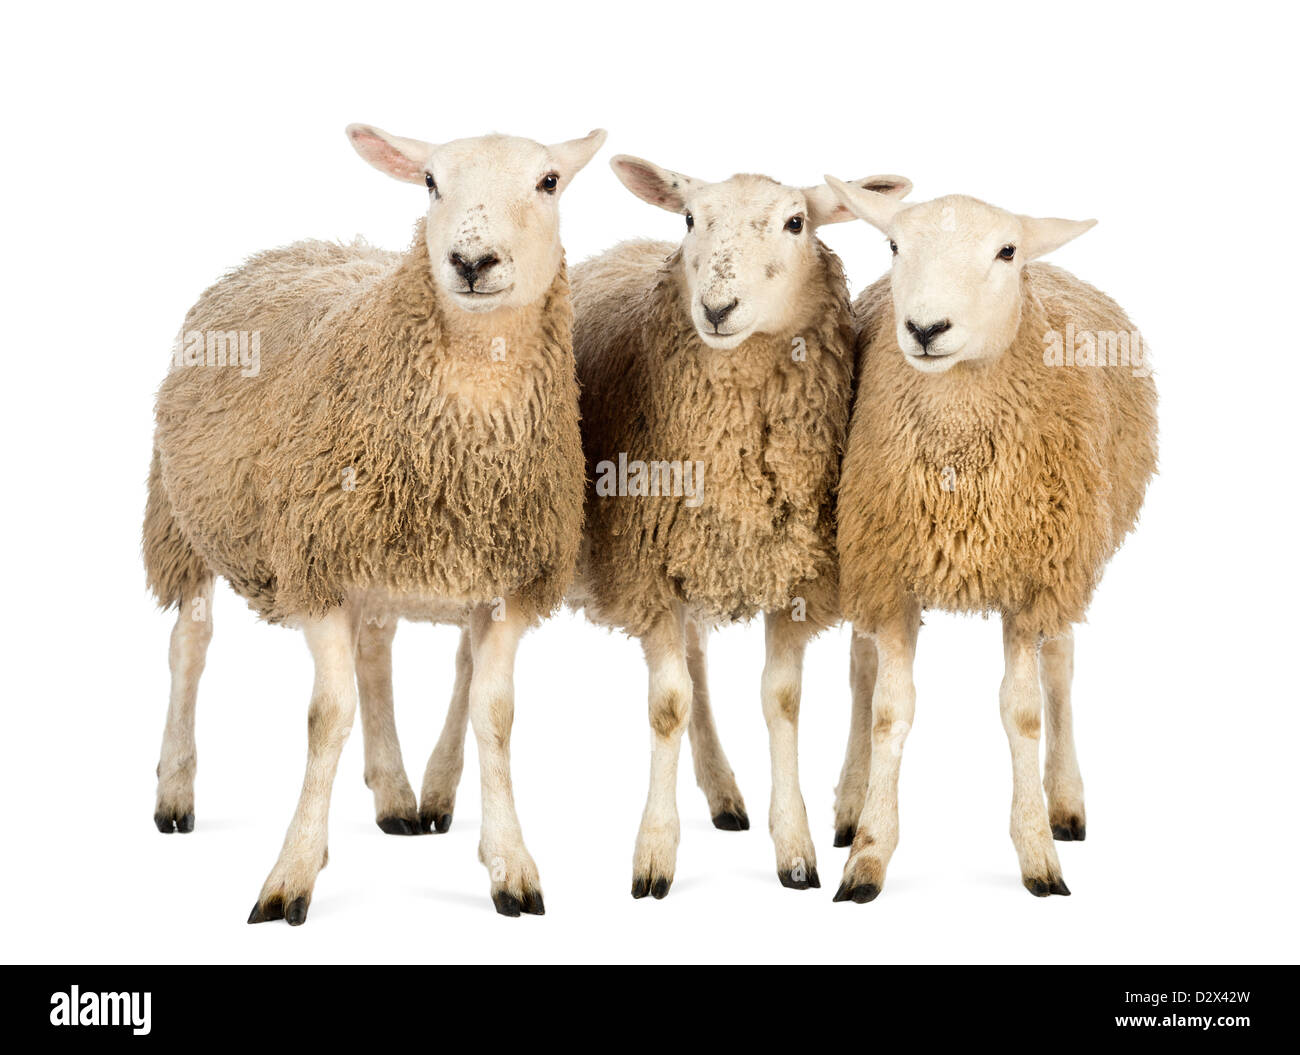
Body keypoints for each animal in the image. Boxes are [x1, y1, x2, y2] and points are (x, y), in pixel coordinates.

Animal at [144, 119, 605, 919]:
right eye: (430, 181)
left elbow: (494, 714)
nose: (471, 260)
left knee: (375, 650)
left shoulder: (507, 583)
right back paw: (175, 790)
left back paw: (395, 795)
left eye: (549, 181)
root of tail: (282, 248)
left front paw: (510, 863)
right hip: (183, 515)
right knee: (189, 646)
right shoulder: (315, 564)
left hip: (378, 552)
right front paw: (292, 872)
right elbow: (326, 717)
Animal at [821, 176, 1159, 904]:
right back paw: (850, 801)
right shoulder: (889, 571)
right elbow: (888, 709)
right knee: (861, 671)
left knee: (1060, 666)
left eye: (1005, 251)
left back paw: (1065, 803)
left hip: (1069, 559)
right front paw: (868, 853)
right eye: (894, 245)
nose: (925, 329)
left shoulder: (1032, 579)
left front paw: (1037, 853)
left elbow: (1023, 711)